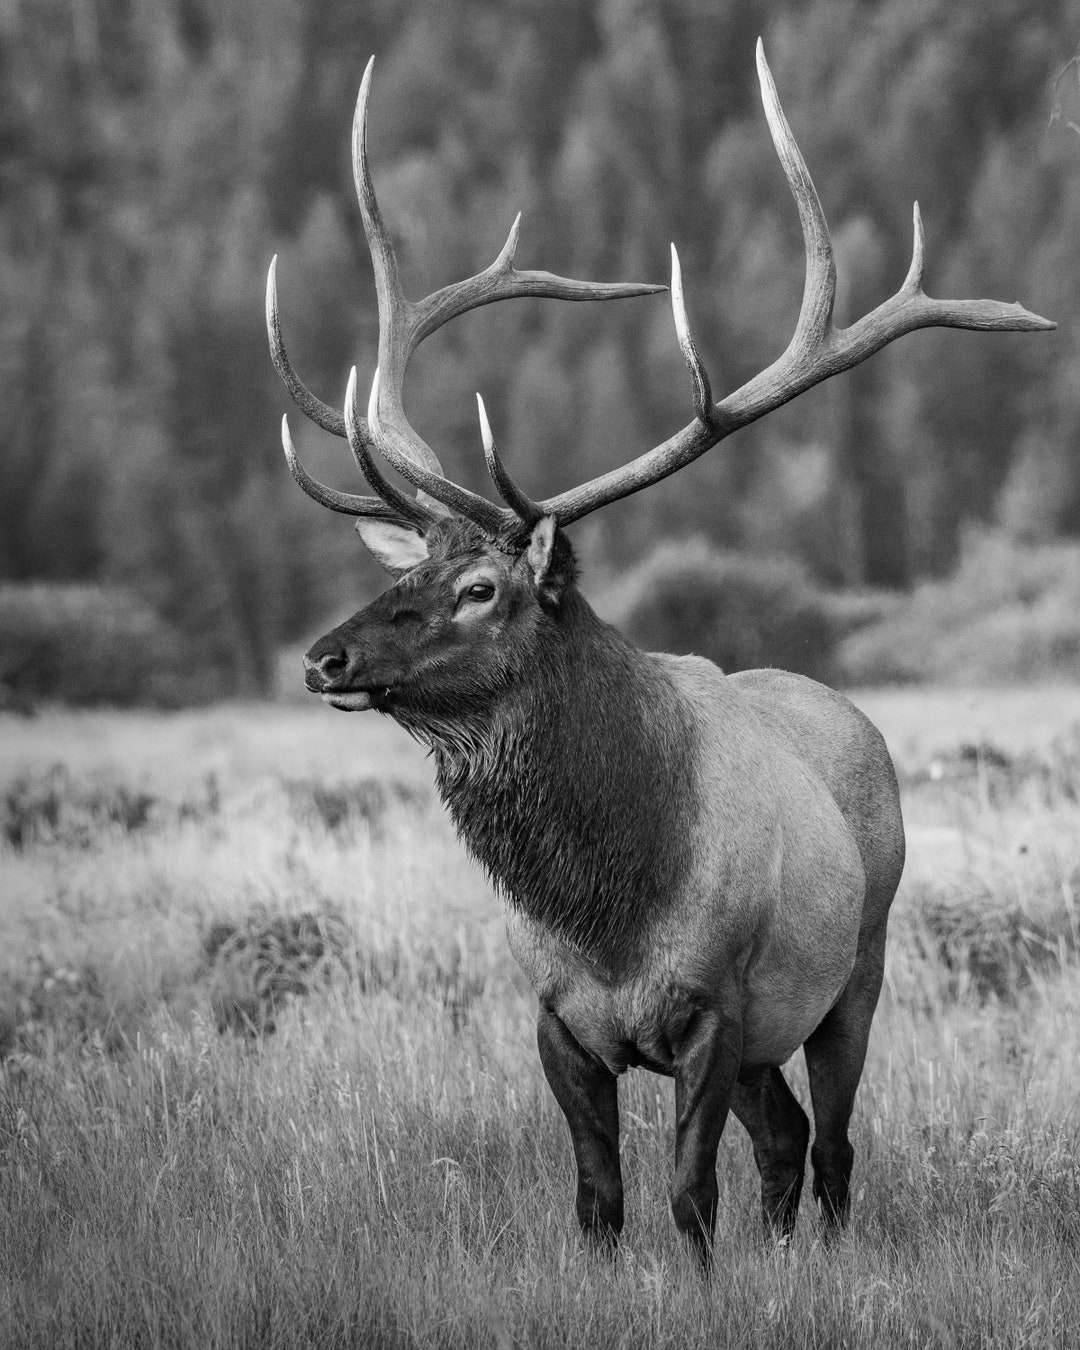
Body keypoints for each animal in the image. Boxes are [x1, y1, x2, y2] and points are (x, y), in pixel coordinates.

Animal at [266, 41, 1053, 1264]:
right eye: (405, 576)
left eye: (481, 589)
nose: (324, 660)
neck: (610, 908)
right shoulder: (555, 1019)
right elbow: (600, 1201)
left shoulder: (715, 1010)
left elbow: (689, 1197)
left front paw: (706, 1283)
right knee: (785, 1140)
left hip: (857, 966)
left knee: (833, 1142)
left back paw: (824, 1251)